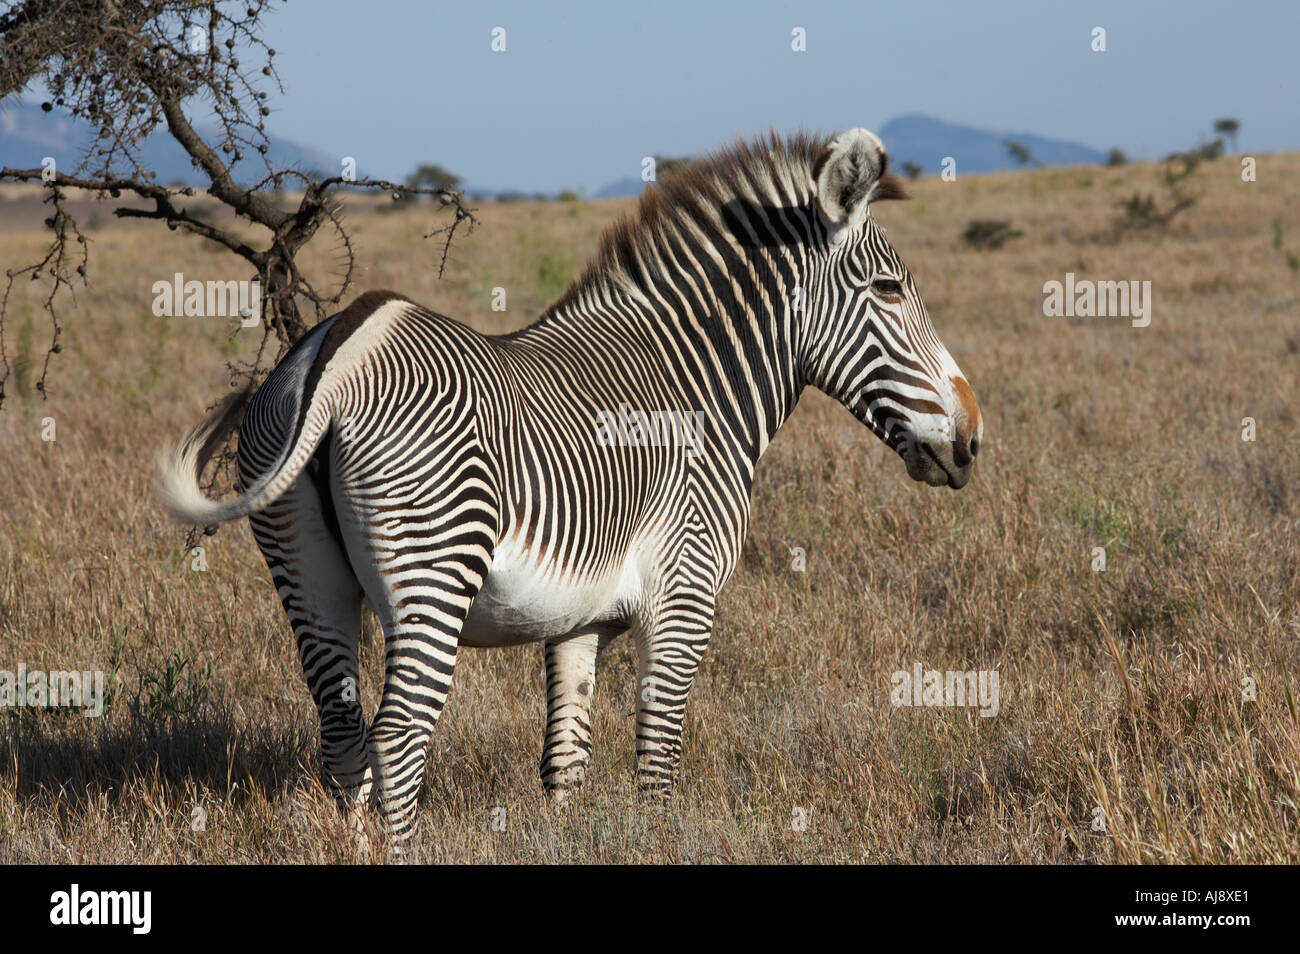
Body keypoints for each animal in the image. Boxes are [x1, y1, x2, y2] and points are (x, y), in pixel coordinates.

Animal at [159, 128, 983, 840]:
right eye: (888, 288)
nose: (972, 438)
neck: (694, 387)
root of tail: (339, 345)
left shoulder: (578, 620)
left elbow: (565, 762)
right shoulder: (686, 591)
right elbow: (658, 762)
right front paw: (658, 840)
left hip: (308, 574)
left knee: (342, 738)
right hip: (433, 568)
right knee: (397, 739)